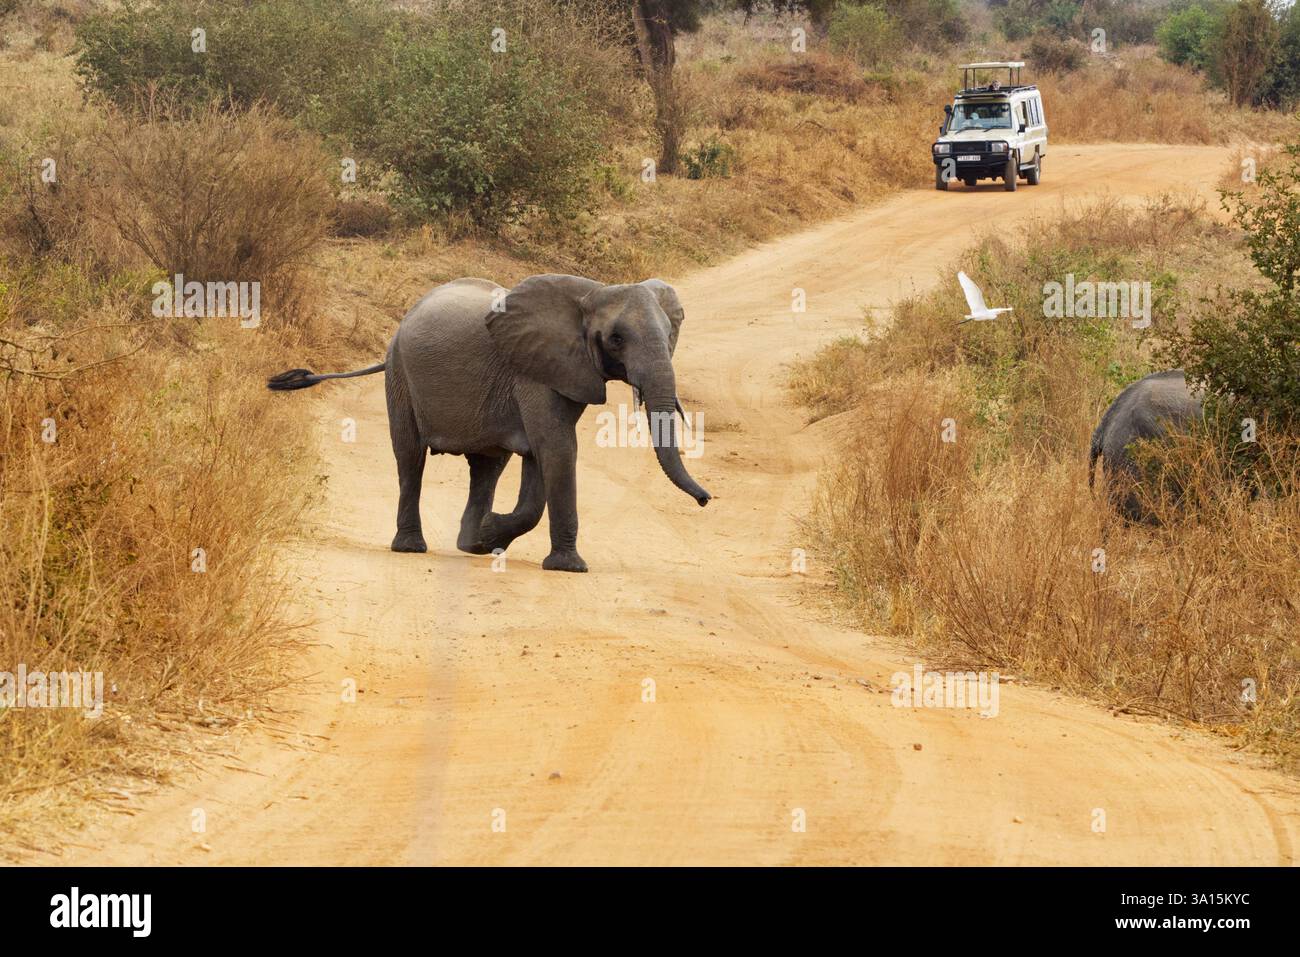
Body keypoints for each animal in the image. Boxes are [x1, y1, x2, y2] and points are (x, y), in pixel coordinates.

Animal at [267, 274, 710, 572]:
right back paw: (412, 547)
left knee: (487, 466)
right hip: (400, 374)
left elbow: (543, 455)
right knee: (410, 458)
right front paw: (566, 566)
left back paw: (470, 545)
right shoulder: (534, 369)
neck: (590, 291)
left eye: (671, 334)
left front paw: (488, 534)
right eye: (616, 339)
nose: (706, 500)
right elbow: (556, 448)